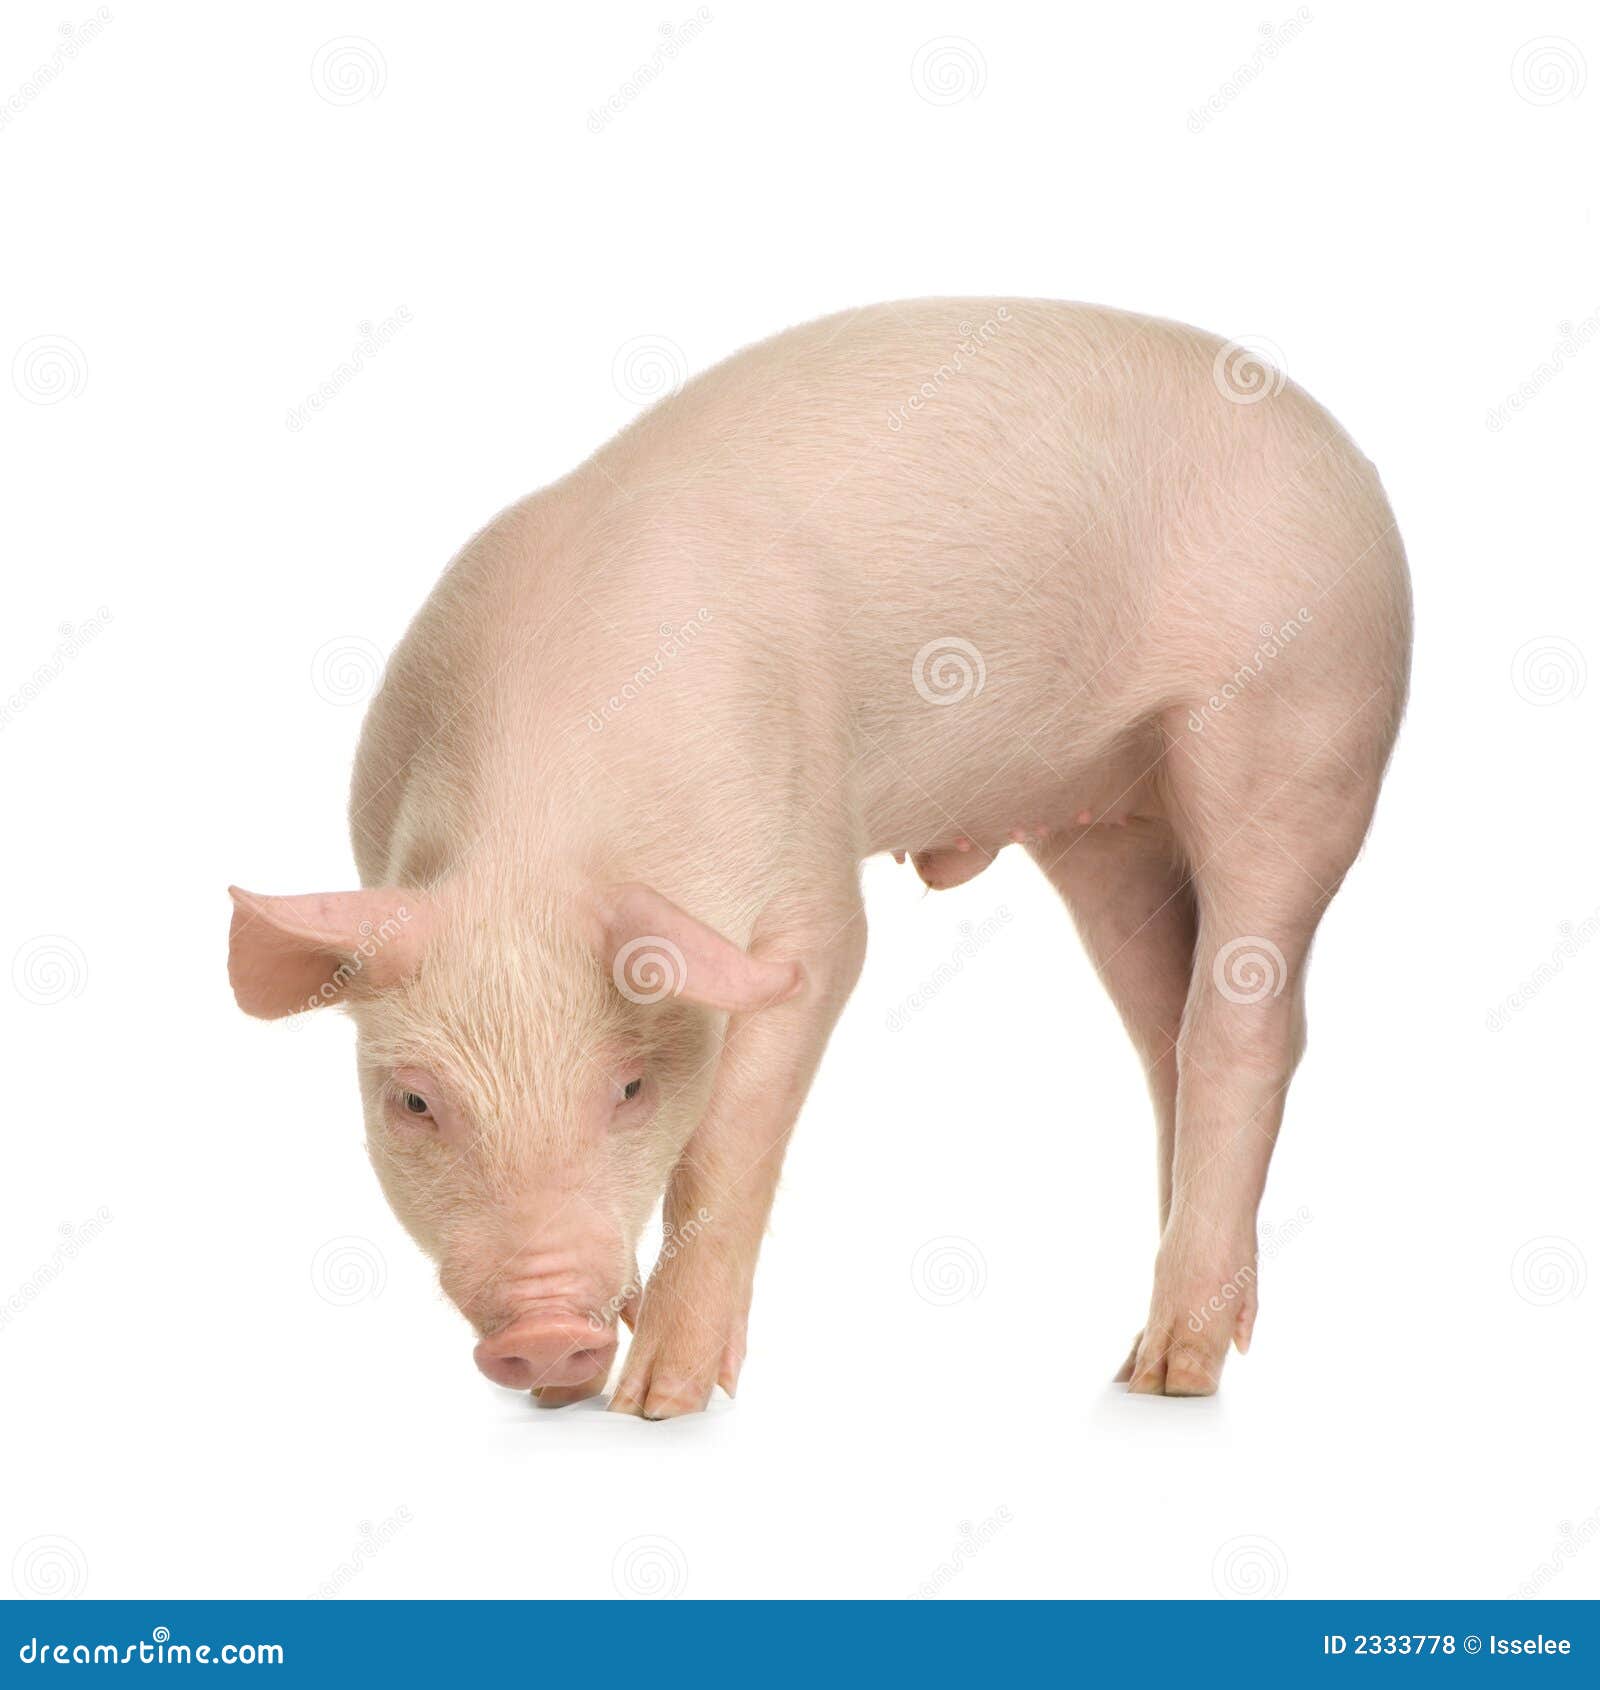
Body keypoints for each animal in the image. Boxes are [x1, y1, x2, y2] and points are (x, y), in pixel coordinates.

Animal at [228, 299, 1410, 1415]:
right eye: (413, 1103)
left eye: (630, 1086)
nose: (547, 1333)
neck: (538, 833)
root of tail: (1348, 457)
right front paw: (576, 1395)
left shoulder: (807, 869)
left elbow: (733, 1127)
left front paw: (659, 1402)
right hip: (1104, 819)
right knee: (1164, 1029)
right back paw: (1144, 1356)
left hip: (1300, 718)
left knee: (1245, 1028)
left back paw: (1175, 1373)